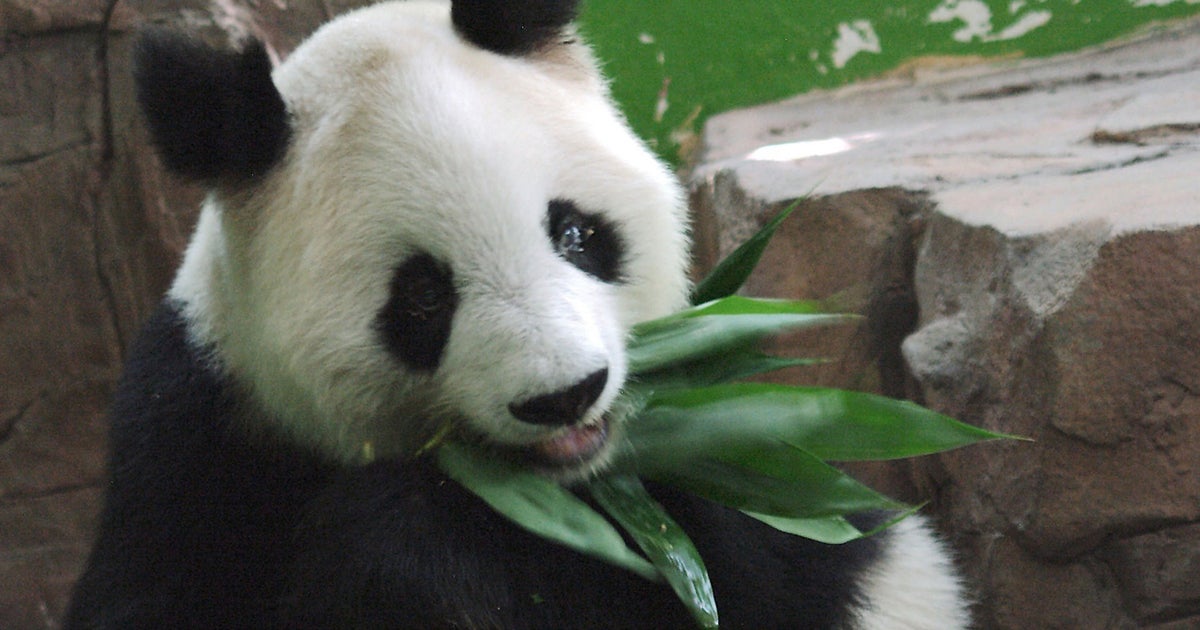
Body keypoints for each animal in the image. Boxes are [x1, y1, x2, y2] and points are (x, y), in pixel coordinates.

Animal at [66, 1, 969, 628]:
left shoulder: (729, 463)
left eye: (573, 232)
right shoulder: (198, 445)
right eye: (423, 294)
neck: (556, 490)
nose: (565, 394)